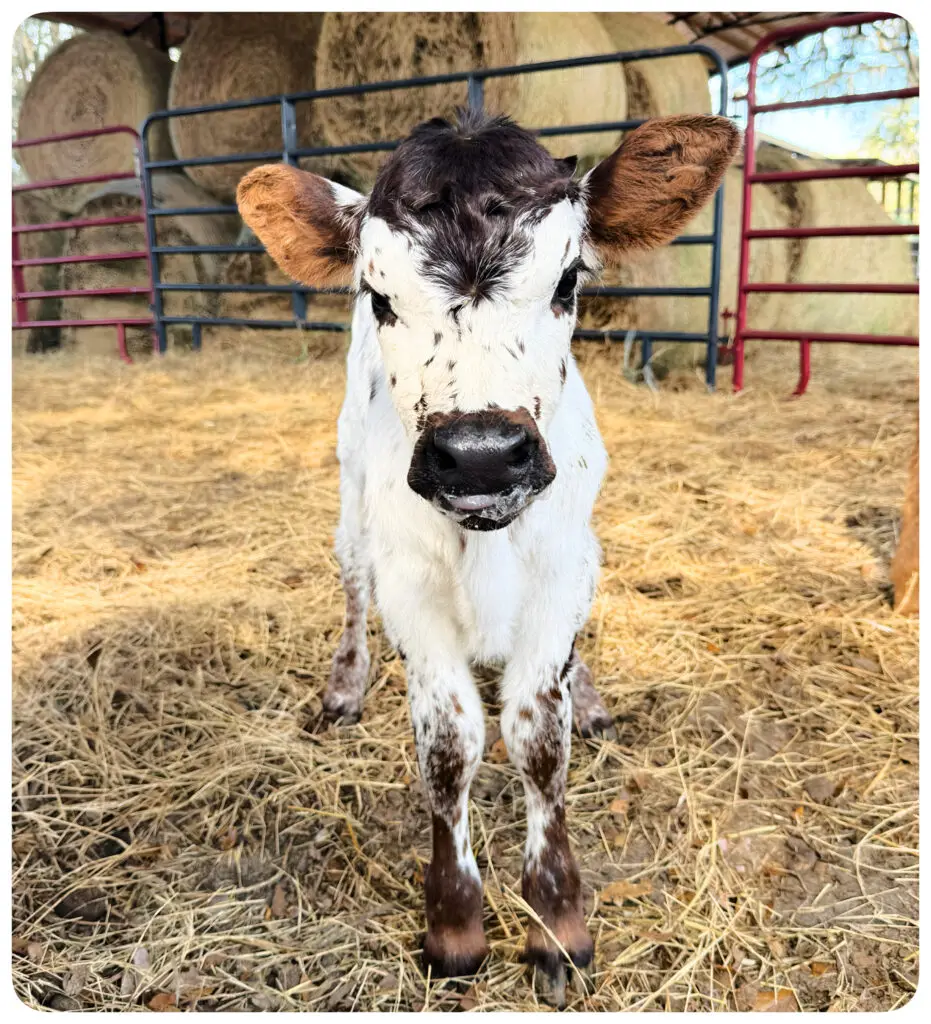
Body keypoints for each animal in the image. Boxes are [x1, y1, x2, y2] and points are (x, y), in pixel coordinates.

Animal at [237, 108, 739, 1005]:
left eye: (568, 281)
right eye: (378, 295)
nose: (477, 455)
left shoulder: (565, 565)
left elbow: (537, 738)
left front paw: (556, 921)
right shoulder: (409, 585)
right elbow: (451, 746)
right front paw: (454, 925)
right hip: (350, 494)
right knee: (350, 581)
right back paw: (345, 684)